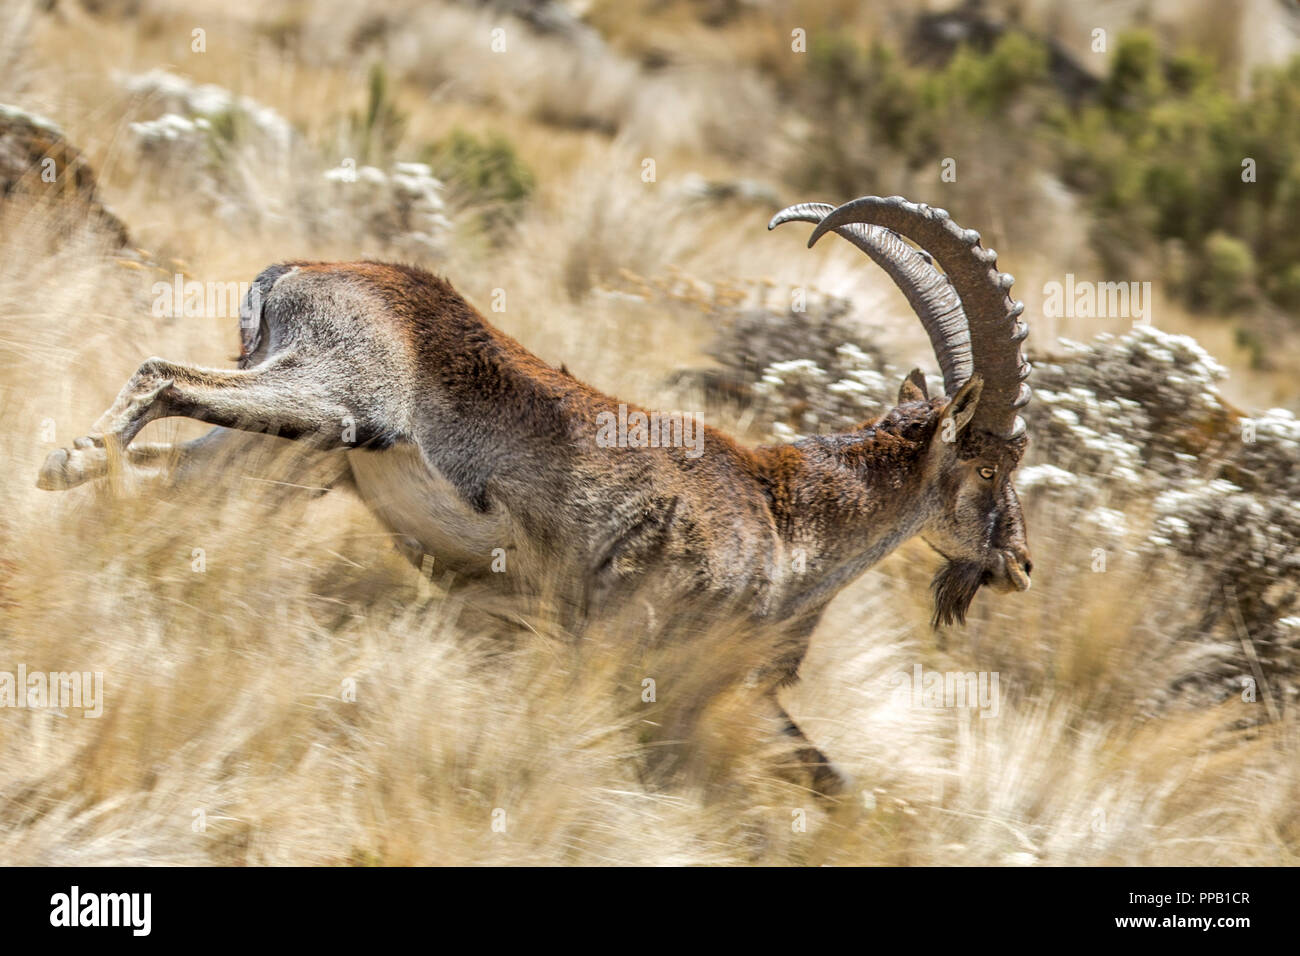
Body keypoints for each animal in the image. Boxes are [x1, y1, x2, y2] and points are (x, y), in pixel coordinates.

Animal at [37, 195, 1032, 793]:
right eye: (995, 465)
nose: (1019, 562)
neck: (783, 521)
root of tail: (294, 274)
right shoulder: (620, 636)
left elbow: (829, 778)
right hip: (334, 404)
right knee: (160, 375)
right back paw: (66, 457)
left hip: (291, 456)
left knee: (172, 468)